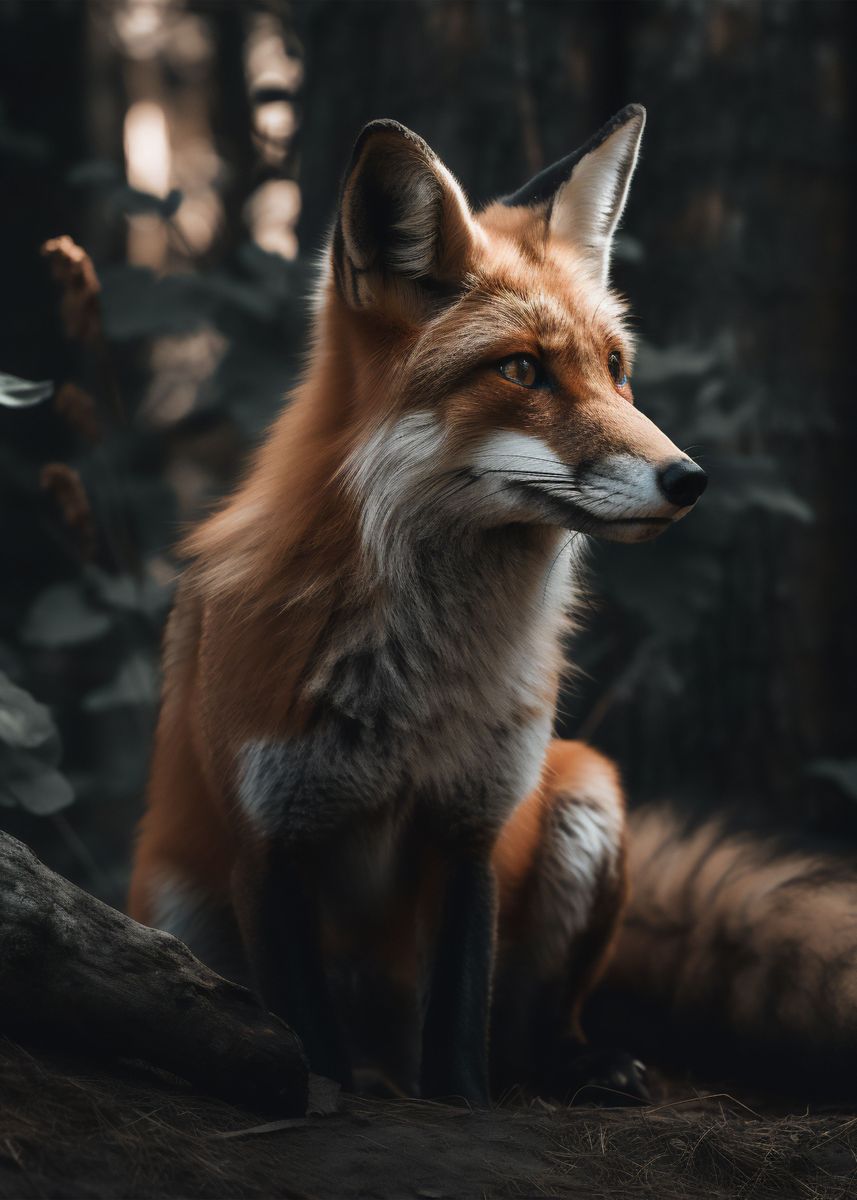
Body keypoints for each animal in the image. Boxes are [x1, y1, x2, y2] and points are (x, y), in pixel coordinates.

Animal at [128, 104, 711, 1106]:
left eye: (614, 367)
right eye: (521, 372)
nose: (689, 479)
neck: (415, 690)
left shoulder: (468, 826)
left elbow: (461, 1038)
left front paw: (464, 1102)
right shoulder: (268, 844)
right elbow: (309, 1044)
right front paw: (319, 1095)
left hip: (586, 792)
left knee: (528, 1030)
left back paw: (584, 1064)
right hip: (174, 897)